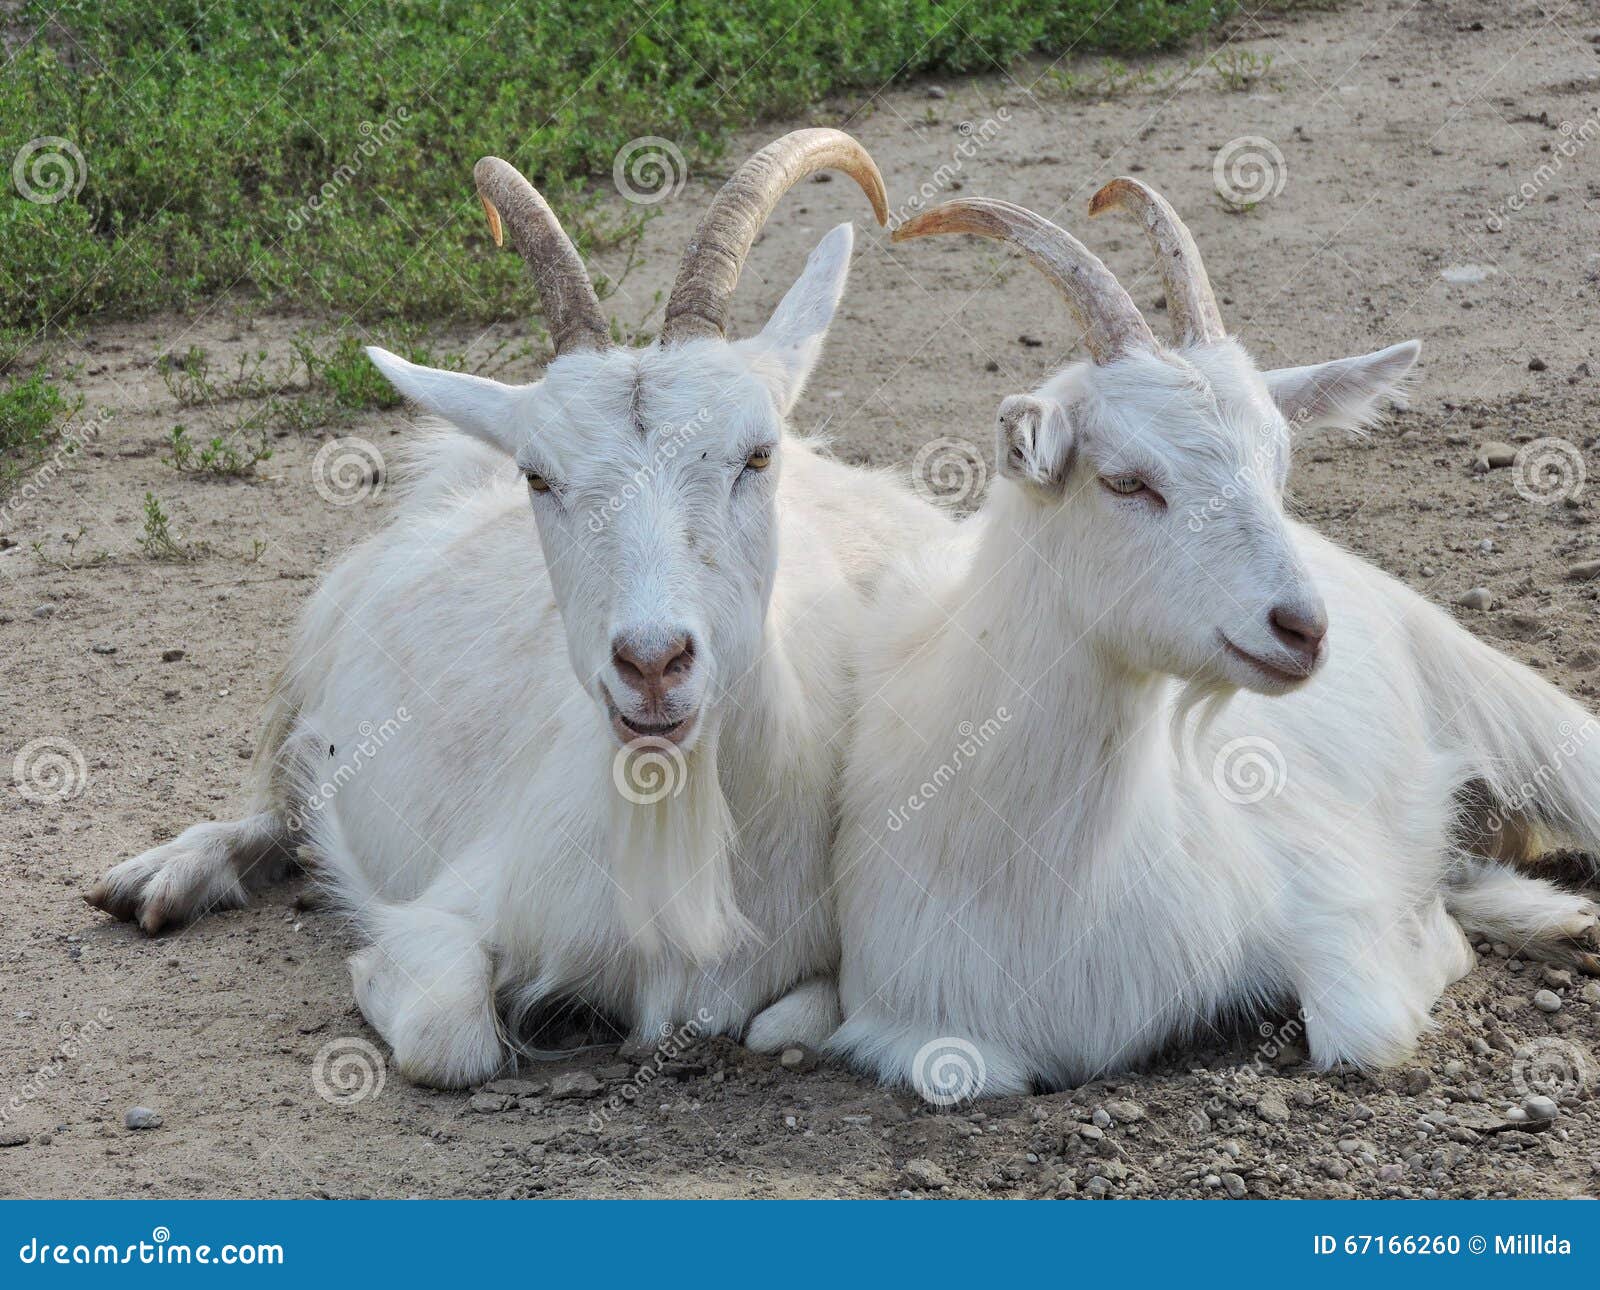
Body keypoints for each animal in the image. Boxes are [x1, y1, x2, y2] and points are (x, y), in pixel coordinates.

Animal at [88, 130, 952, 1088]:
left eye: (757, 455)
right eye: (540, 477)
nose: (653, 664)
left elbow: (784, 1024)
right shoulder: (457, 904)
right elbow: (446, 1035)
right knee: (283, 791)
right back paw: (164, 875)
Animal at [828, 185, 1600, 1100]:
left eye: (1279, 469)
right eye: (1126, 480)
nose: (1303, 628)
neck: (1050, 878)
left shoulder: (1323, 887)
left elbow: (1364, 1027)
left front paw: (1432, 938)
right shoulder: (914, 1020)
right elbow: (960, 1073)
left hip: (1508, 706)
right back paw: (1556, 918)